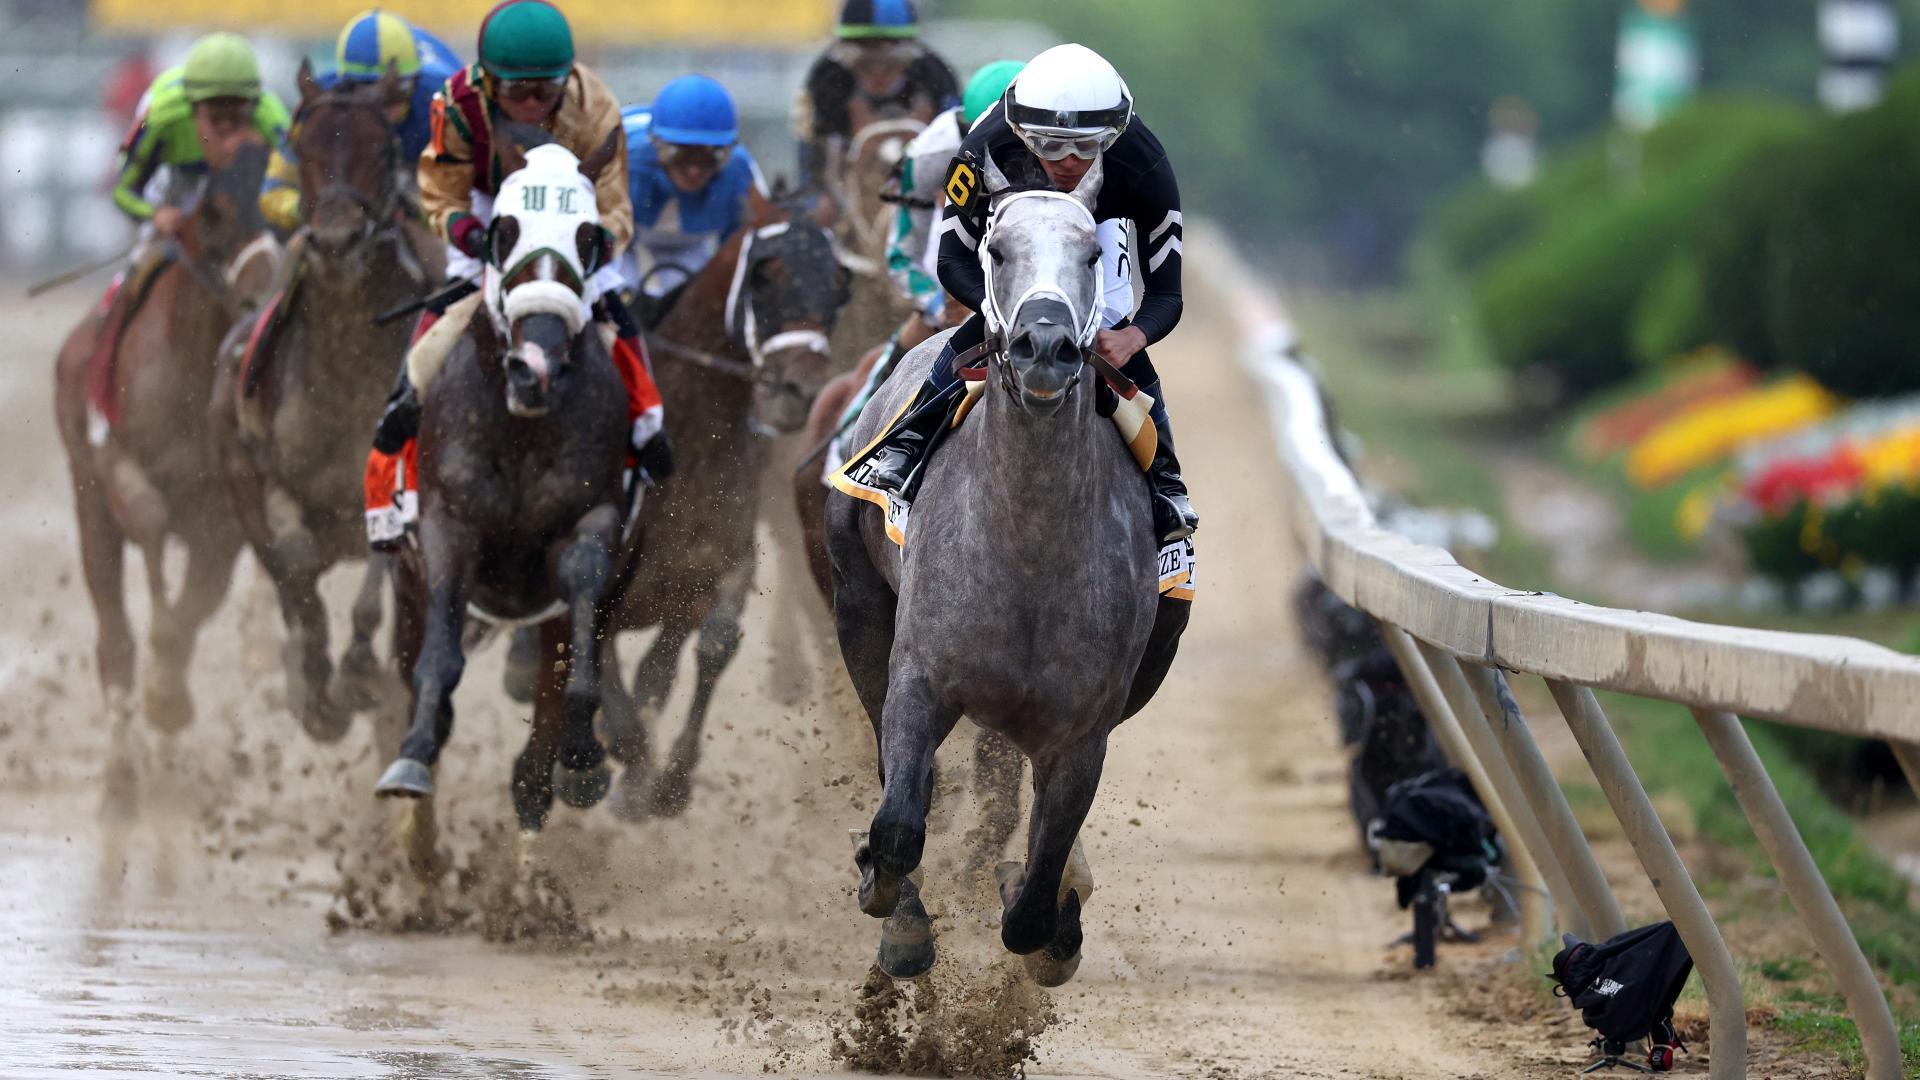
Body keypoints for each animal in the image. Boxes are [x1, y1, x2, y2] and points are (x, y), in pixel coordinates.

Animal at [54, 135, 275, 734]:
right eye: (215, 214)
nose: (261, 296)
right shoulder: (115, 461)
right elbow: (150, 520)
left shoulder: (224, 514)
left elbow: (198, 602)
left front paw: (168, 693)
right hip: (88, 505)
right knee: (112, 636)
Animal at [211, 62, 442, 743]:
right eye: (301, 145)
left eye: (383, 148)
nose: (336, 239)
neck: (342, 375)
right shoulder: (265, 473)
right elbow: (293, 563)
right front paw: (313, 682)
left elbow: (378, 578)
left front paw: (358, 670)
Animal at [372, 134, 631, 837]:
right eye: (503, 230)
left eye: (588, 236)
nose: (533, 365)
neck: (521, 429)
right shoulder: (446, 524)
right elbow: (438, 658)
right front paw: (413, 755)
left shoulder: (591, 520)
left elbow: (581, 620)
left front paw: (581, 752)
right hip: (404, 582)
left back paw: (540, 777)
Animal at [589, 199, 849, 820]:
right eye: (766, 273)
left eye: (838, 282)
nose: (801, 391)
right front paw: (632, 766)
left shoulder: (719, 562)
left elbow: (716, 641)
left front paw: (672, 780)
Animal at [826, 154, 1189, 985]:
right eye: (996, 249)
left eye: (1091, 255)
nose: (1044, 345)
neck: (1029, 548)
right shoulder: (920, 676)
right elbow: (898, 825)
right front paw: (892, 910)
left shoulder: (1083, 731)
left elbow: (1031, 907)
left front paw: (1057, 921)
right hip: (858, 608)